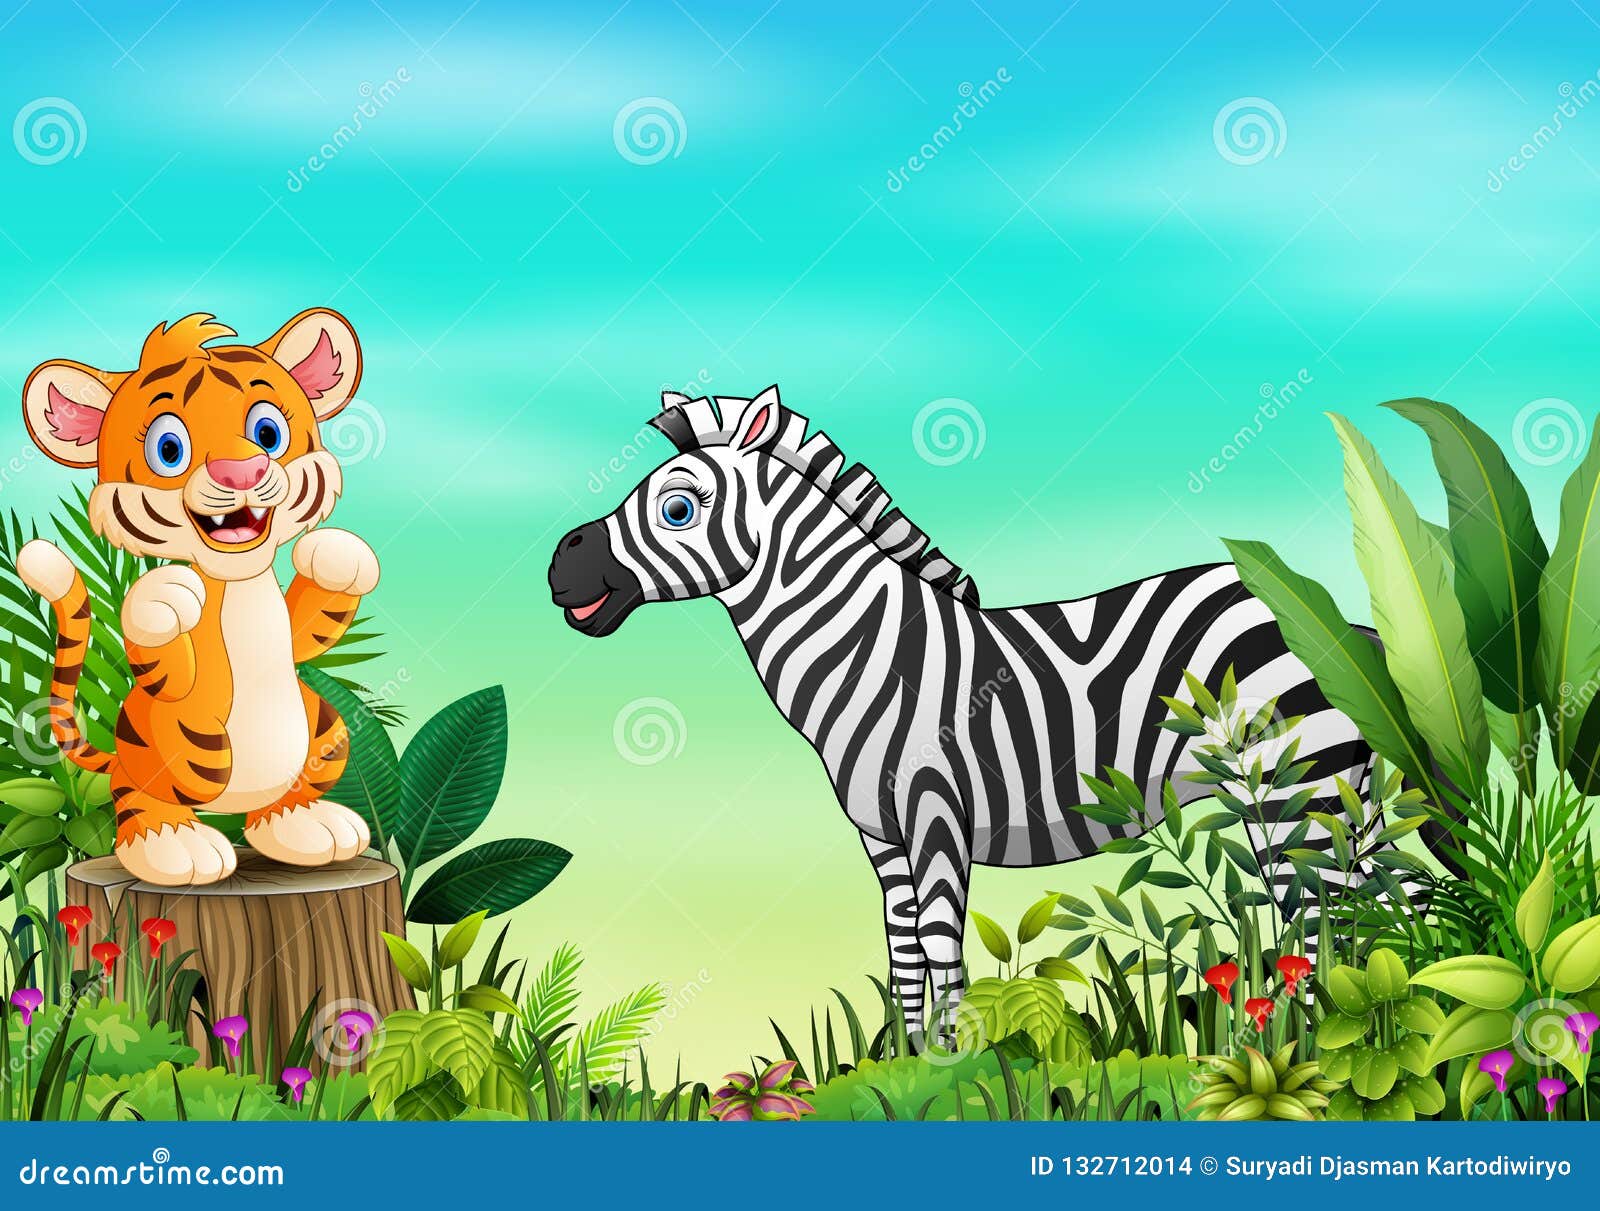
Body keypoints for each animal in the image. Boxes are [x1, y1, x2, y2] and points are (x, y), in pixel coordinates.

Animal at [14, 309, 380, 887]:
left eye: (268, 433)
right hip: (172, 756)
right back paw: (172, 843)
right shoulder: (181, 678)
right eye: (169, 450)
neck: (238, 584)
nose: (243, 471)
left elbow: (309, 638)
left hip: (325, 725)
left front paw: (338, 554)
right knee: (141, 799)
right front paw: (163, 597)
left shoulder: (292, 639)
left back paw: (301, 821)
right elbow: (169, 668)